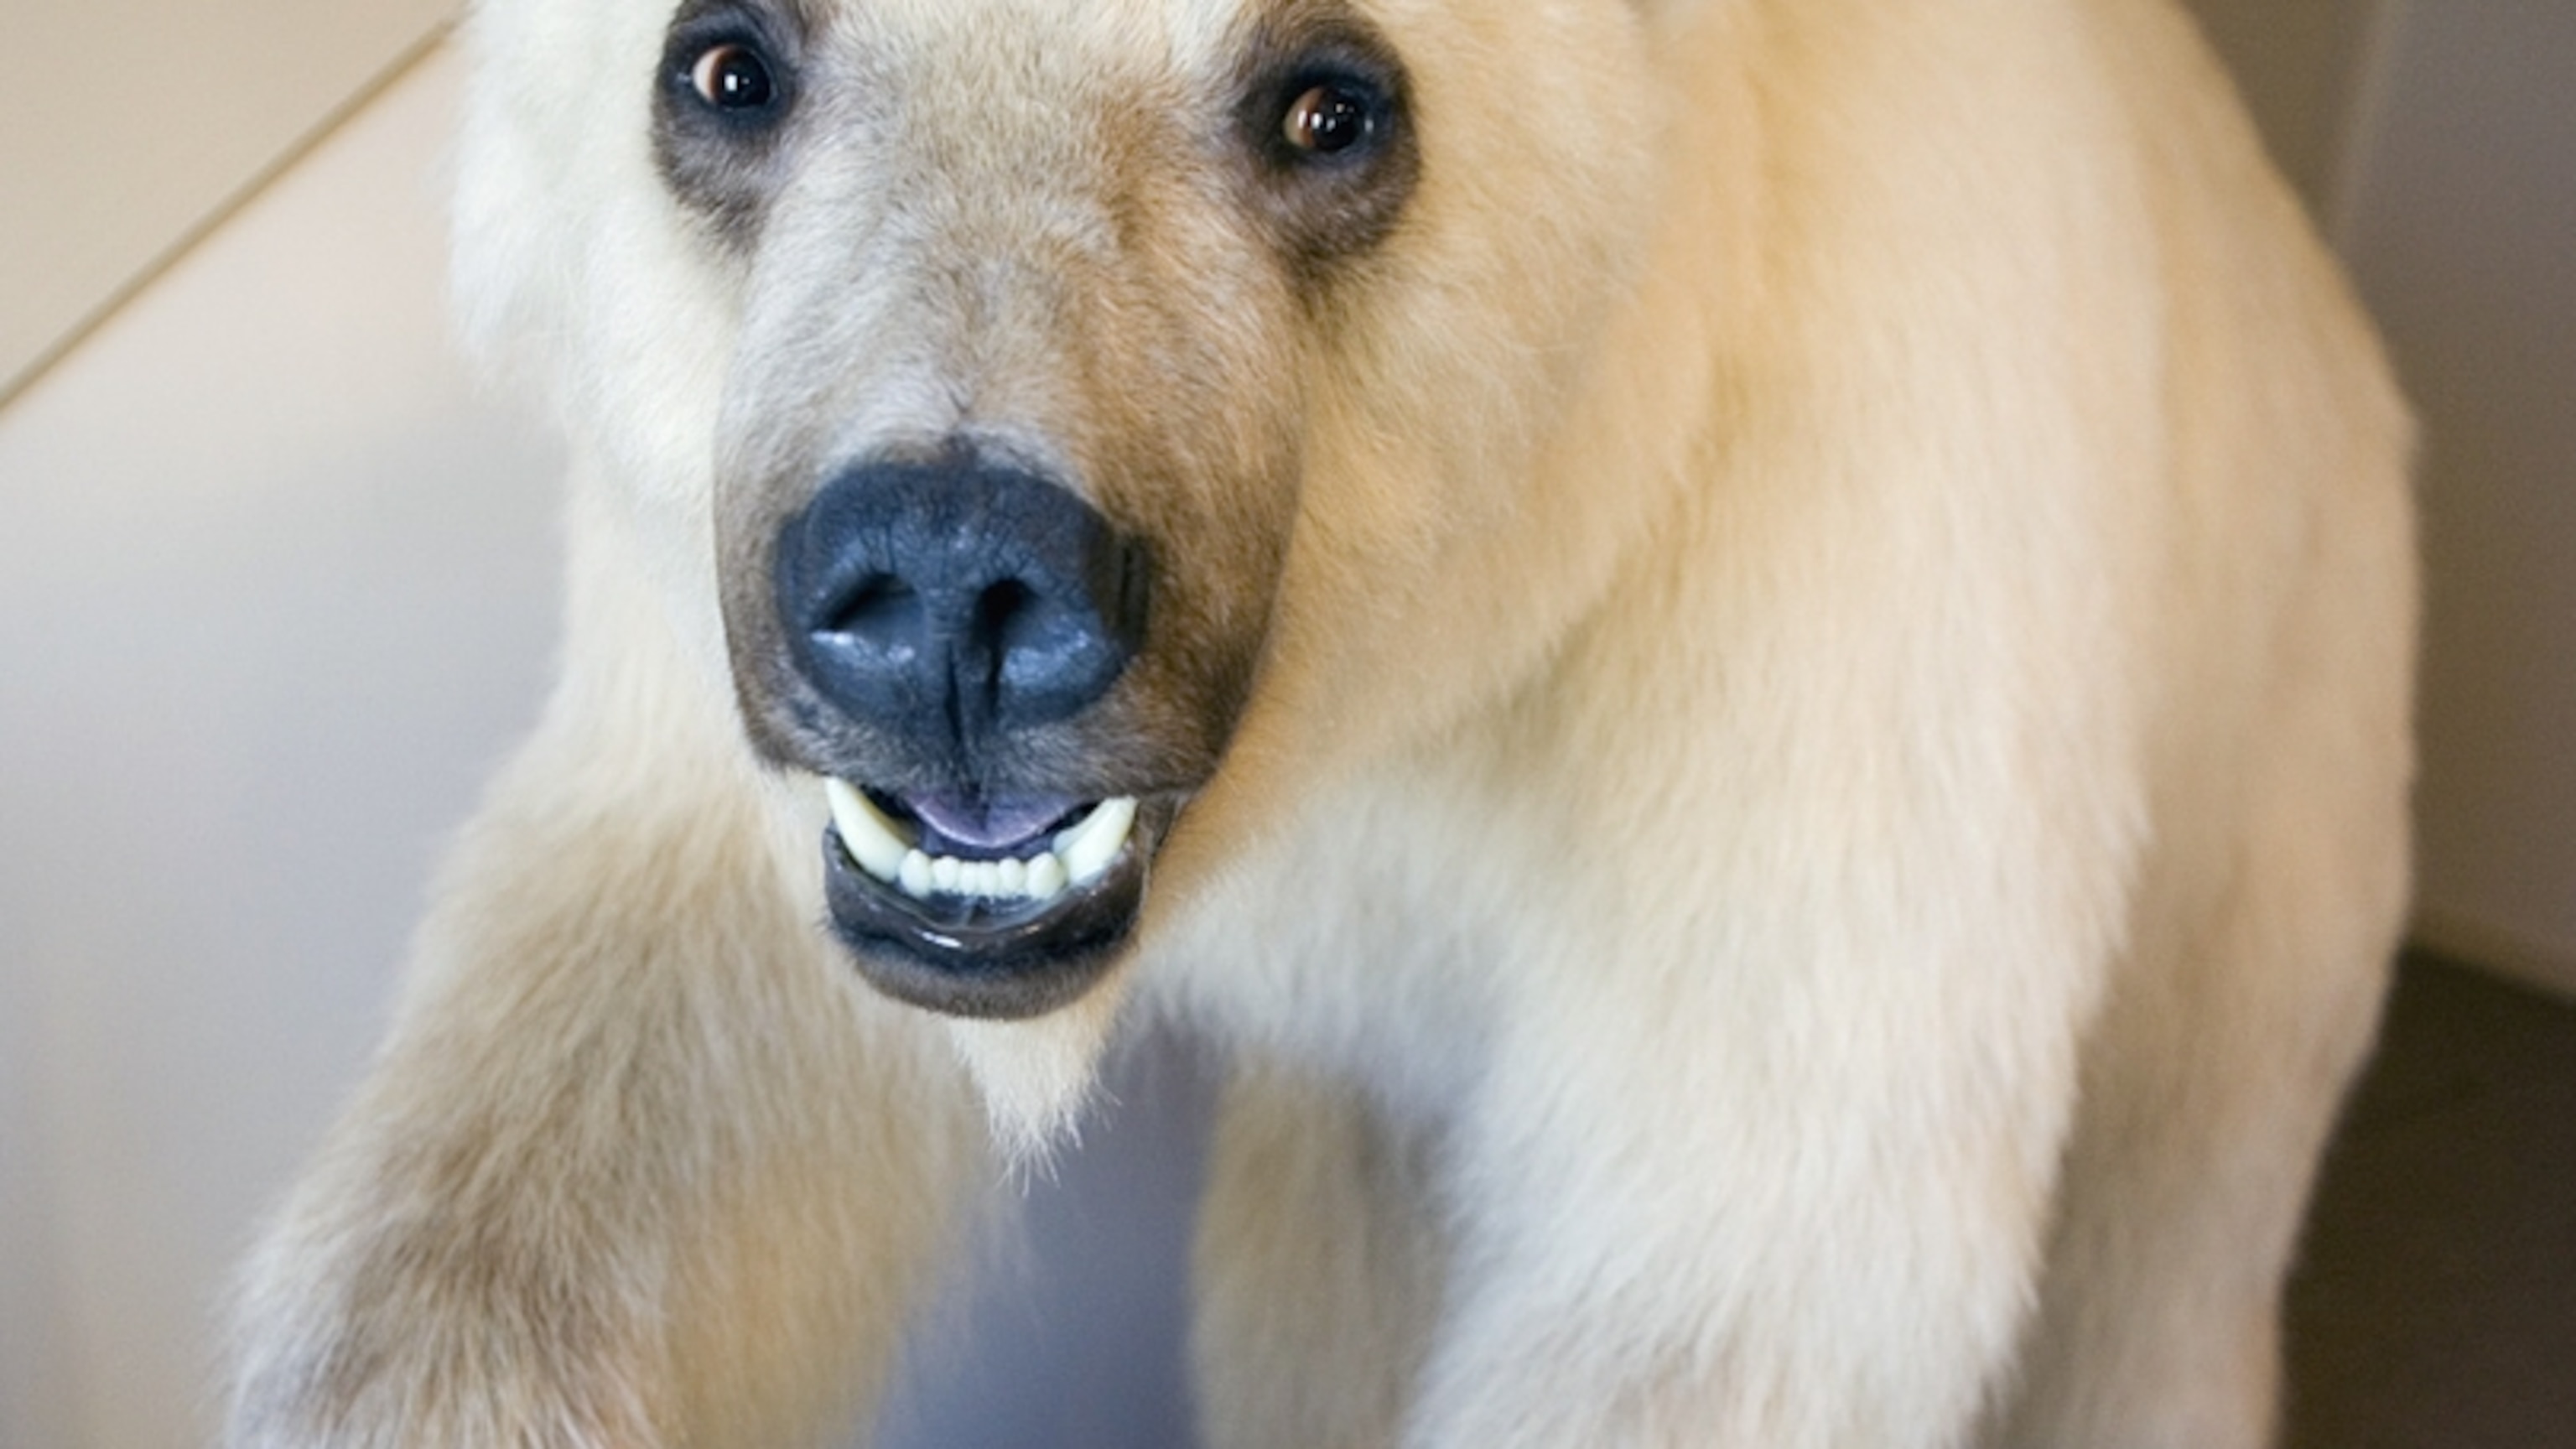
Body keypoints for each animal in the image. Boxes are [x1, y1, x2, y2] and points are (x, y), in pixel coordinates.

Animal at [226, 0, 2416, 1444]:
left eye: (1326, 99)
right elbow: (620, 1067)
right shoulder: (693, 641)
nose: (949, 589)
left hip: (2273, 766)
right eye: (725, 62)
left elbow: (1733, 1258)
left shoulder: (1828, 570)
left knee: (2160, 1259)